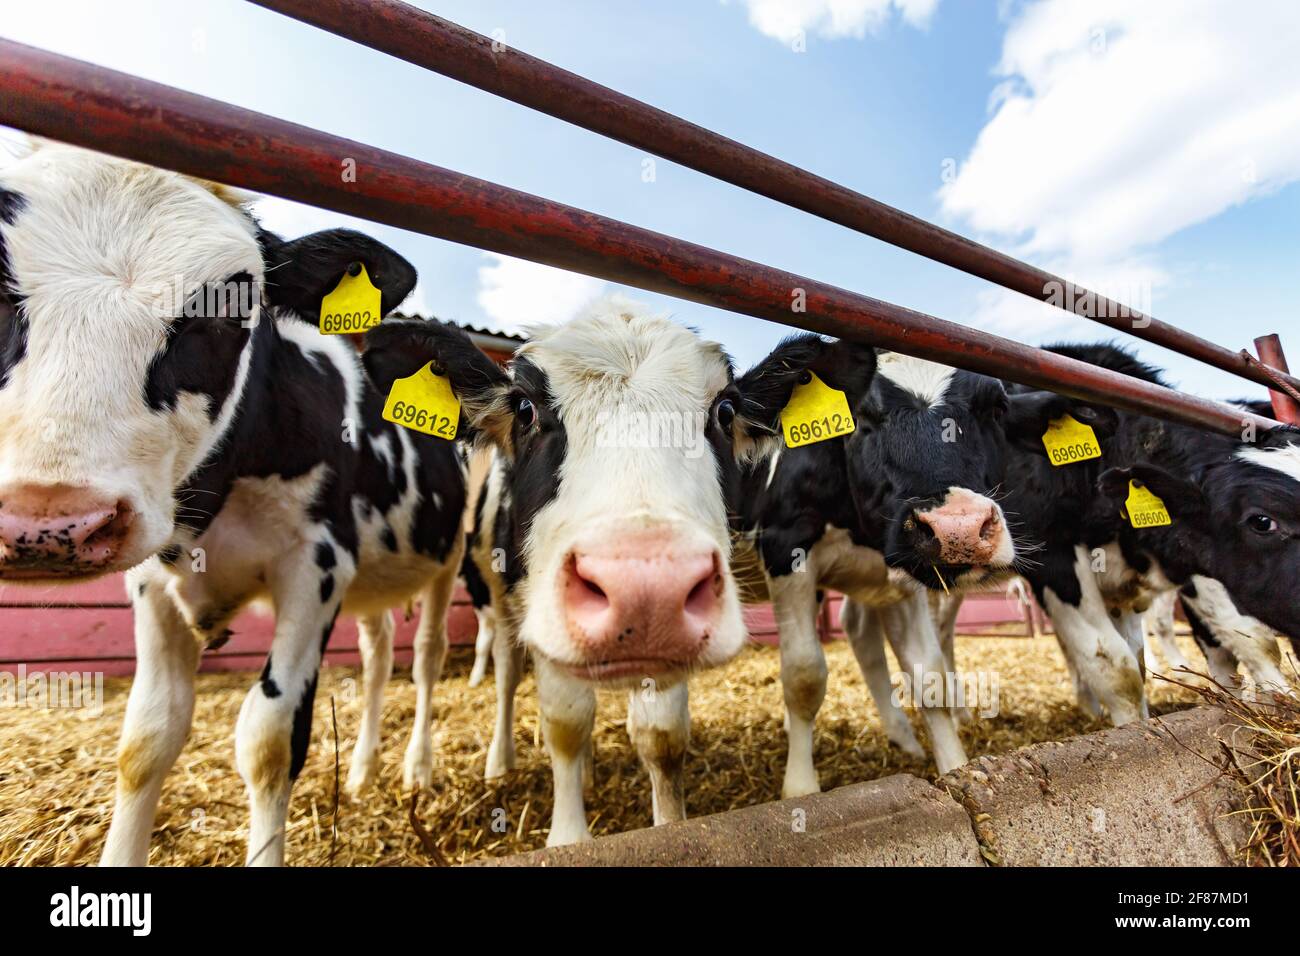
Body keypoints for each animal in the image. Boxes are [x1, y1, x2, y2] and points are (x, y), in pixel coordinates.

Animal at [0, 142, 468, 866]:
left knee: (428, 655)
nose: (50, 524)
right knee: (377, 656)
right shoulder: (151, 580)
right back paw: (364, 771)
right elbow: (146, 738)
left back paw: (418, 766)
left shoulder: (316, 563)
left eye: (225, 312)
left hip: (454, 552)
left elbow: (270, 740)